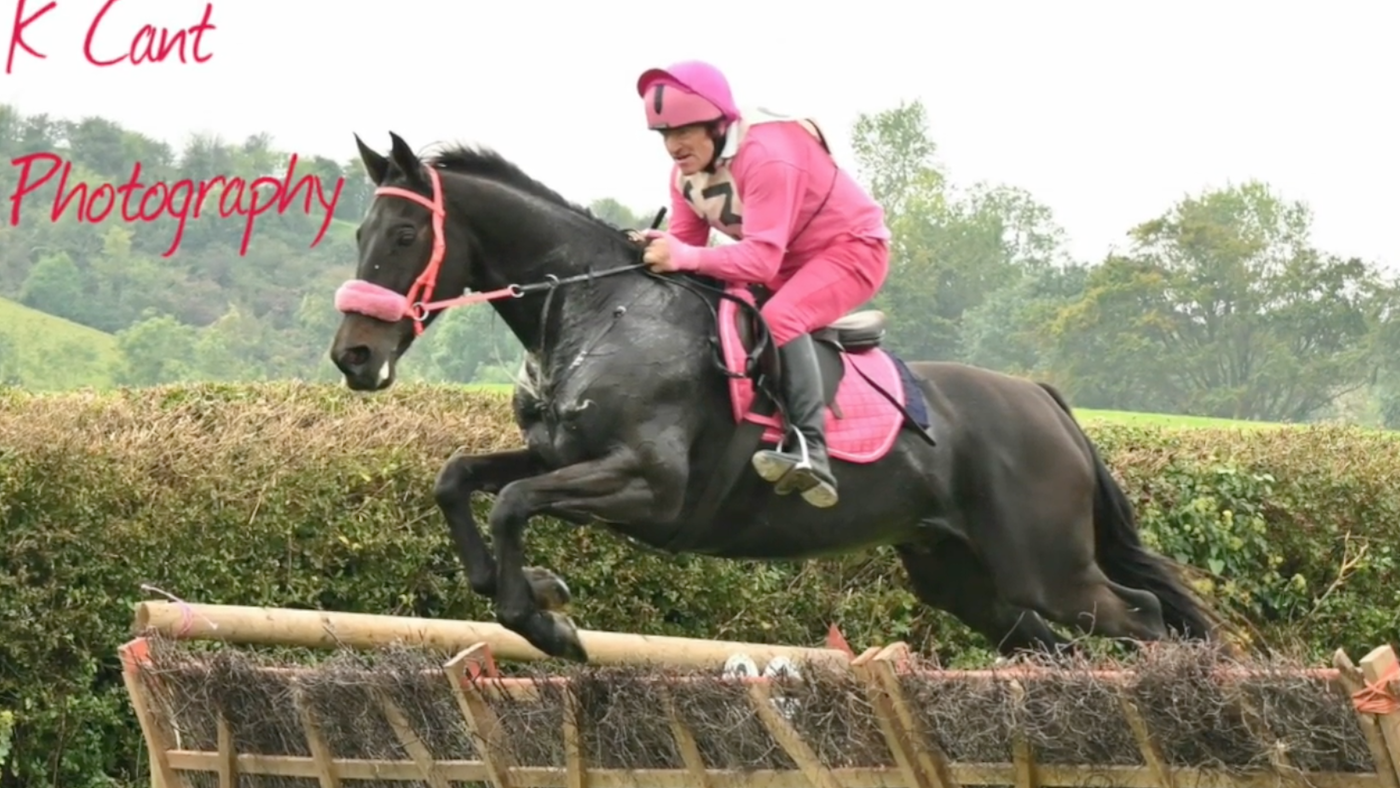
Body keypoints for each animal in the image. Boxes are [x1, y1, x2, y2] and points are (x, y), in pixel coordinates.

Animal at [328, 131, 1222, 664]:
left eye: (404, 235)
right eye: (360, 233)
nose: (353, 356)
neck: (599, 308)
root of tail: (1046, 401)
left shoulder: (651, 489)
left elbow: (513, 502)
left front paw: (547, 617)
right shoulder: (558, 455)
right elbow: (459, 478)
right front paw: (527, 590)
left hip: (1048, 566)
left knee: (1145, 617)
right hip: (962, 576)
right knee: (1046, 644)